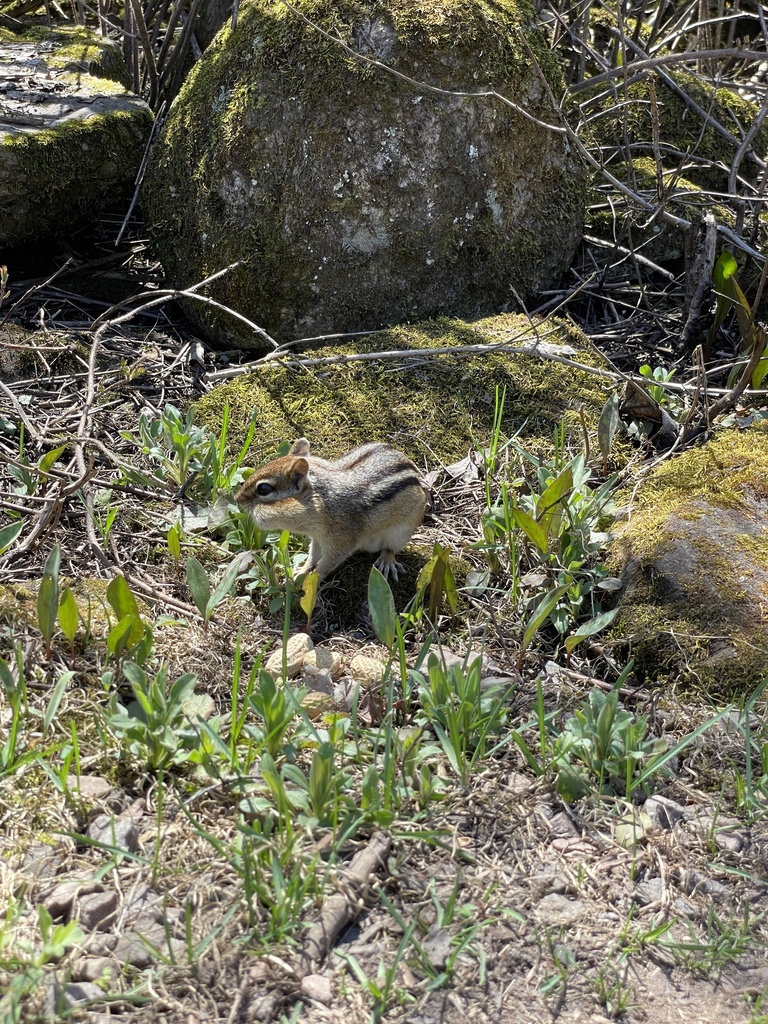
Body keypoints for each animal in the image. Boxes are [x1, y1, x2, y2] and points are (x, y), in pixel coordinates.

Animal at [236, 438, 427, 580]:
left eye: (263, 489)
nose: (238, 499)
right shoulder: (318, 538)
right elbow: (313, 555)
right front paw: (302, 570)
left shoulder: (341, 540)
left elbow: (327, 564)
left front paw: (312, 578)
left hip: (402, 532)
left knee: (390, 548)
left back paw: (387, 560)